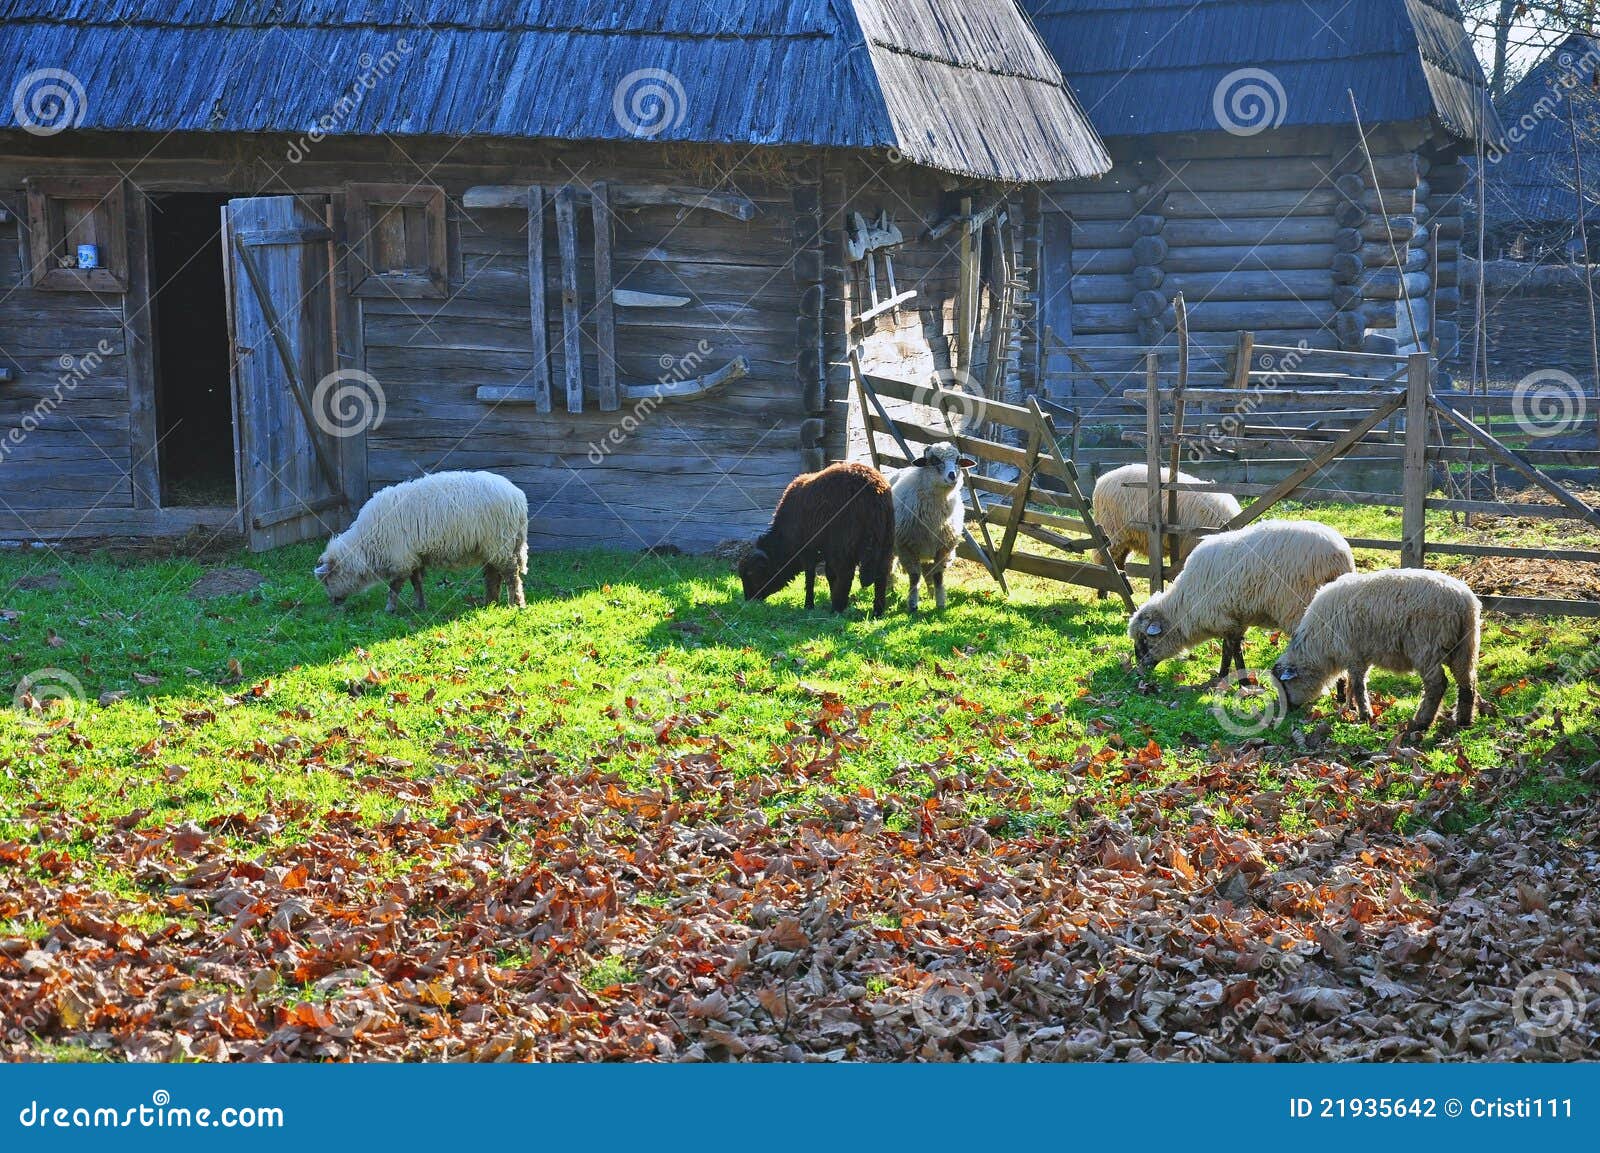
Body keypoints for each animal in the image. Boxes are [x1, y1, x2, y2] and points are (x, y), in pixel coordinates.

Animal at [315, 470, 529, 612]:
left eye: (327, 581)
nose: (334, 604)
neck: (366, 545)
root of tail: (517, 497)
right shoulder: (413, 557)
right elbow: (416, 583)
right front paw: (420, 606)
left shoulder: (401, 558)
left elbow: (394, 587)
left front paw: (389, 609)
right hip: (492, 545)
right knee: (493, 575)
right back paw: (490, 602)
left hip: (500, 541)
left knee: (511, 575)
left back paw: (516, 604)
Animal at [739, 462, 894, 617]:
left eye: (751, 574)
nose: (748, 602)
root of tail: (873, 488)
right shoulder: (826, 552)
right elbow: (830, 575)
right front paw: (830, 597)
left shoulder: (808, 550)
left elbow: (810, 577)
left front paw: (809, 605)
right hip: (885, 542)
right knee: (882, 574)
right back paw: (877, 612)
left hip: (844, 545)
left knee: (846, 574)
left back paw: (837, 609)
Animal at [890, 441, 976, 613]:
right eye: (935, 460)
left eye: (957, 460)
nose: (952, 476)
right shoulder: (906, 548)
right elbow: (914, 577)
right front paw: (913, 605)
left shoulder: (943, 548)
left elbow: (937, 576)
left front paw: (940, 603)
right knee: (890, 568)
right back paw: (890, 589)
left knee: (927, 572)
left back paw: (930, 594)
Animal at [1131, 519, 1355, 680]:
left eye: (1145, 638)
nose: (1139, 670)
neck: (1184, 608)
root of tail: (1340, 555)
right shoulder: (1233, 620)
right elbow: (1227, 650)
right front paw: (1223, 676)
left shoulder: (1222, 619)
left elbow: (1233, 651)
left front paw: (1241, 681)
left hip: (1299, 607)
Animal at [1271, 568, 1481, 738]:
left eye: (1284, 684)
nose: (1287, 712)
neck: (1318, 647)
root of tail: (1463, 601)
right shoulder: (1360, 656)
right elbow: (1353, 682)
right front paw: (1352, 707)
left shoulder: (1352, 653)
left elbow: (1357, 685)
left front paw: (1364, 714)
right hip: (1465, 647)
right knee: (1467, 683)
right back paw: (1463, 721)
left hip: (1427, 647)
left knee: (1437, 685)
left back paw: (1421, 723)